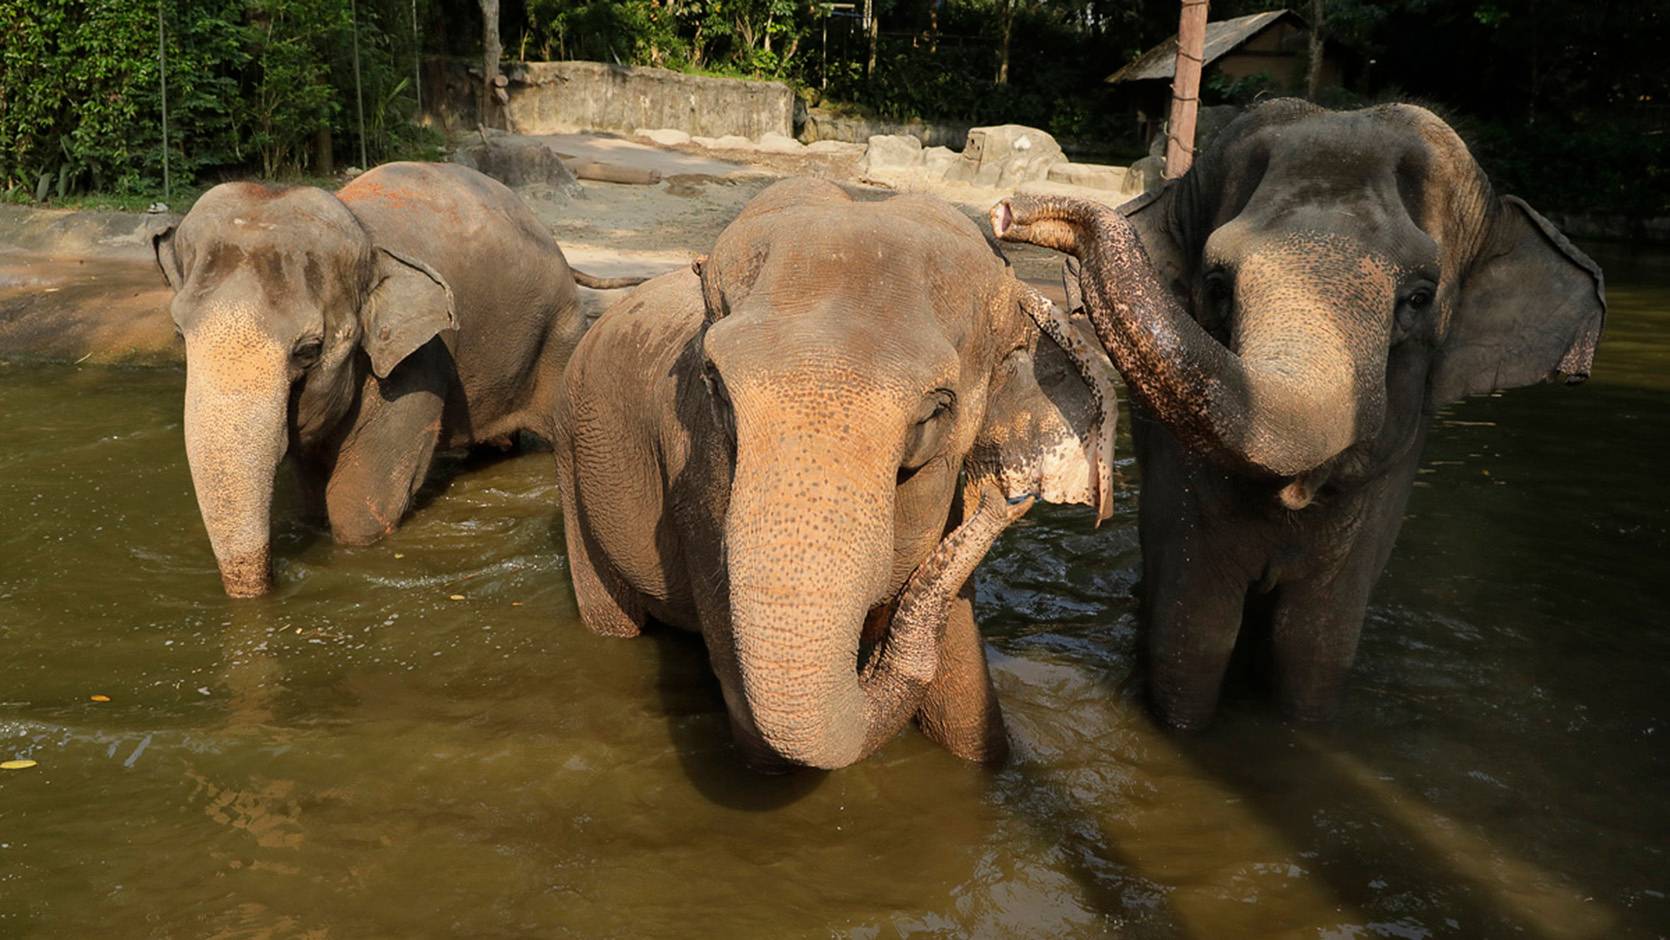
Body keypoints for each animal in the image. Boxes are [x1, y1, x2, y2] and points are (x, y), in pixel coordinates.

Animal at [154, 161, 643, 598]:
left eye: (309, 350)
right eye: (179, 334)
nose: (271, 588)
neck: (366, 238)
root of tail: (551, 238)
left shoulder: (419, 360)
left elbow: (358, 508)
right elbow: (313, 490)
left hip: (560, 333)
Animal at [554, 177, 1120, 771]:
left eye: (935, 410)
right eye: (715, 383)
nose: (1009, 502)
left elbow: (967, 709)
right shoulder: (700, 486)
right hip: (572, 455)